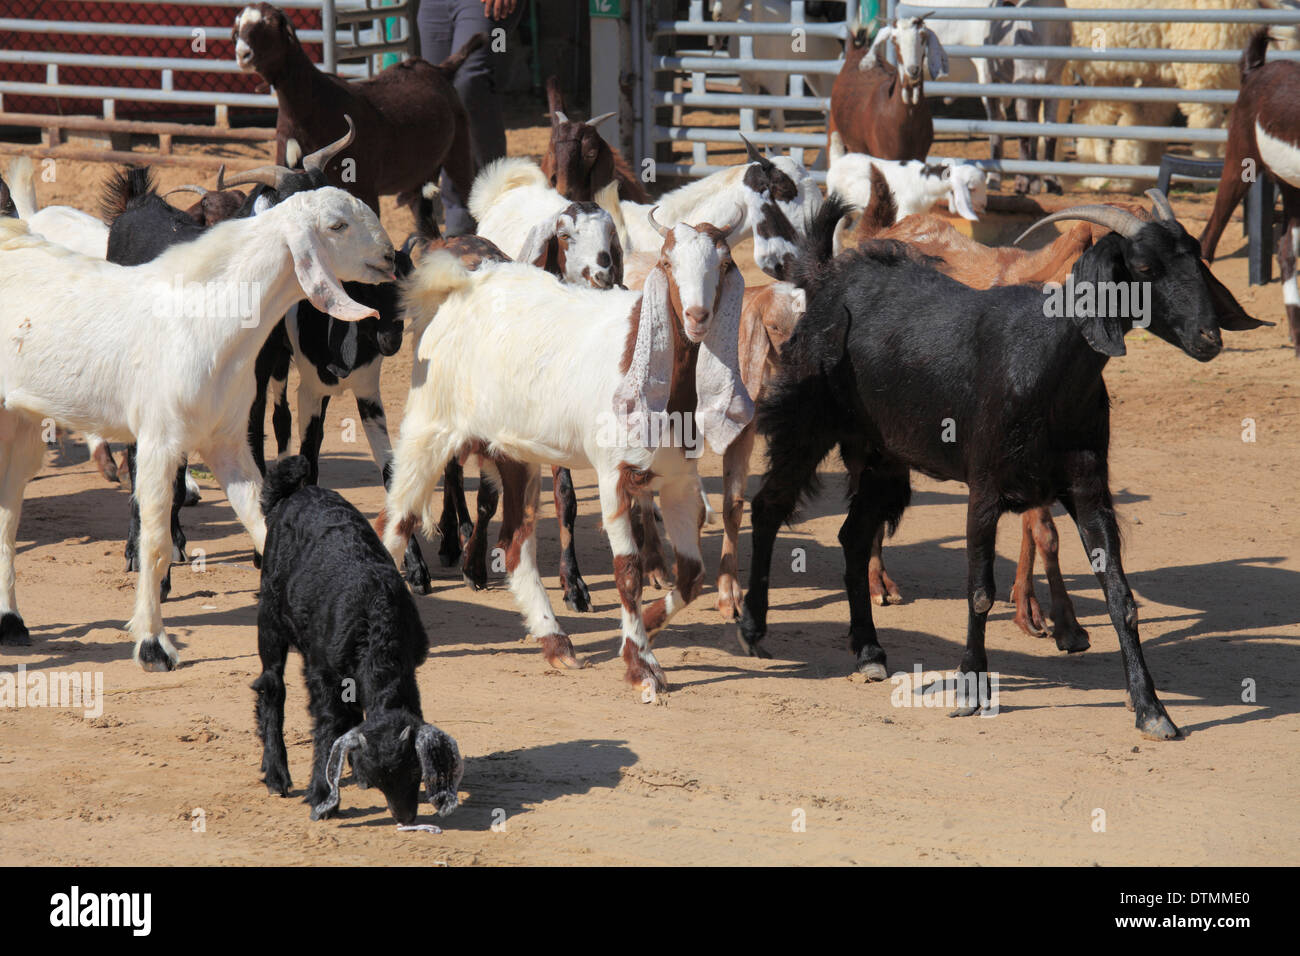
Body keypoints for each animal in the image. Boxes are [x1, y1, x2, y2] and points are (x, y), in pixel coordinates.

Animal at [0, 187, 395, 669]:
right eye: (337, 225)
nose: (390, 256)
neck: (205, 318)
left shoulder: (228, 444)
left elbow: (262, 520)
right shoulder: (158, 441)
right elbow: (154, 543)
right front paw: (153, 644)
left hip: (20, 422)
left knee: (7, 516)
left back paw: (11, 623)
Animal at [232, 2, 480, 222]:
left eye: (269, 23)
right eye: (238, 27)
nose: (243, 54)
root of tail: (440, 69)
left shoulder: (363, 188)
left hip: (459, 148)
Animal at [253, 455, 462, 825]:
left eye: (416, 772)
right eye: (381, 779)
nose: (406, 817)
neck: (377, 626)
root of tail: (294, 494)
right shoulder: (325, 677)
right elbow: (328, 726)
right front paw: (322, 795)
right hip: (270, 622)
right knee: (271, 688)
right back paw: (276, 774)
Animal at [381, 211, 753, 699]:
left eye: (725, 264)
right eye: (668, 263)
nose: (697, 316)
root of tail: (464, 286)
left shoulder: (677, 480)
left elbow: (692, 575)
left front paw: (648, 628)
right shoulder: (614, 475)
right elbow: (627, 570)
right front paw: (641, 666)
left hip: (514, 454)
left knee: (515, 545)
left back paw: (556, 642)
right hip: (429, 428)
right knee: (395, 523)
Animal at [738, 191, 1266, 739]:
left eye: (1198, 259)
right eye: (1143, 267)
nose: (1209, 338)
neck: (1045, 367)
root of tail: (825, 276)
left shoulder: (1088, 489)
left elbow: (1120, 595)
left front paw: (1152, 708)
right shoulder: (985, 487)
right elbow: (979, 592)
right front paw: (971, 689)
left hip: (885, 459)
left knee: (853, 536)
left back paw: (868, 651)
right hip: (806, 424)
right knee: (768, 506)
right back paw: (753, 628)